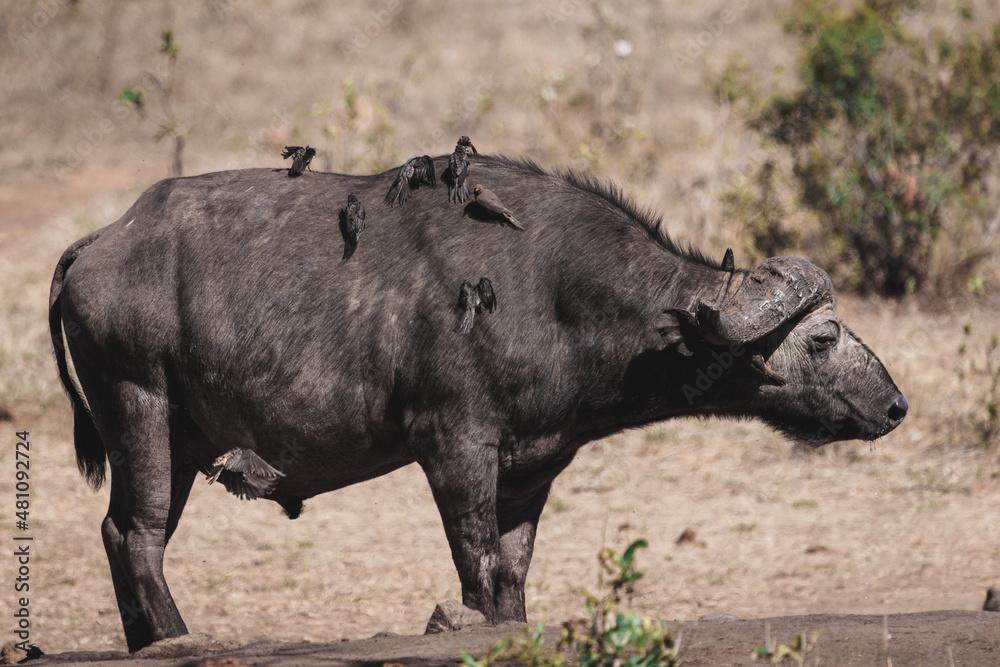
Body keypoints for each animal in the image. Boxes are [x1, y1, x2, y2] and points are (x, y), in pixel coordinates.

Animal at [49, 155, 906, 650]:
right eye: (824, 337)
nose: (897, 404)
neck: (560, 293)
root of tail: (98, 242)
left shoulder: (533, 467)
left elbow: (512, 567)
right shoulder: (454, 447)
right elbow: (475, 559)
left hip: (181, 443)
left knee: (116, 532)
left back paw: (146, 640)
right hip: (140, 412)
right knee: (138, 534)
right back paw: (177, 638)